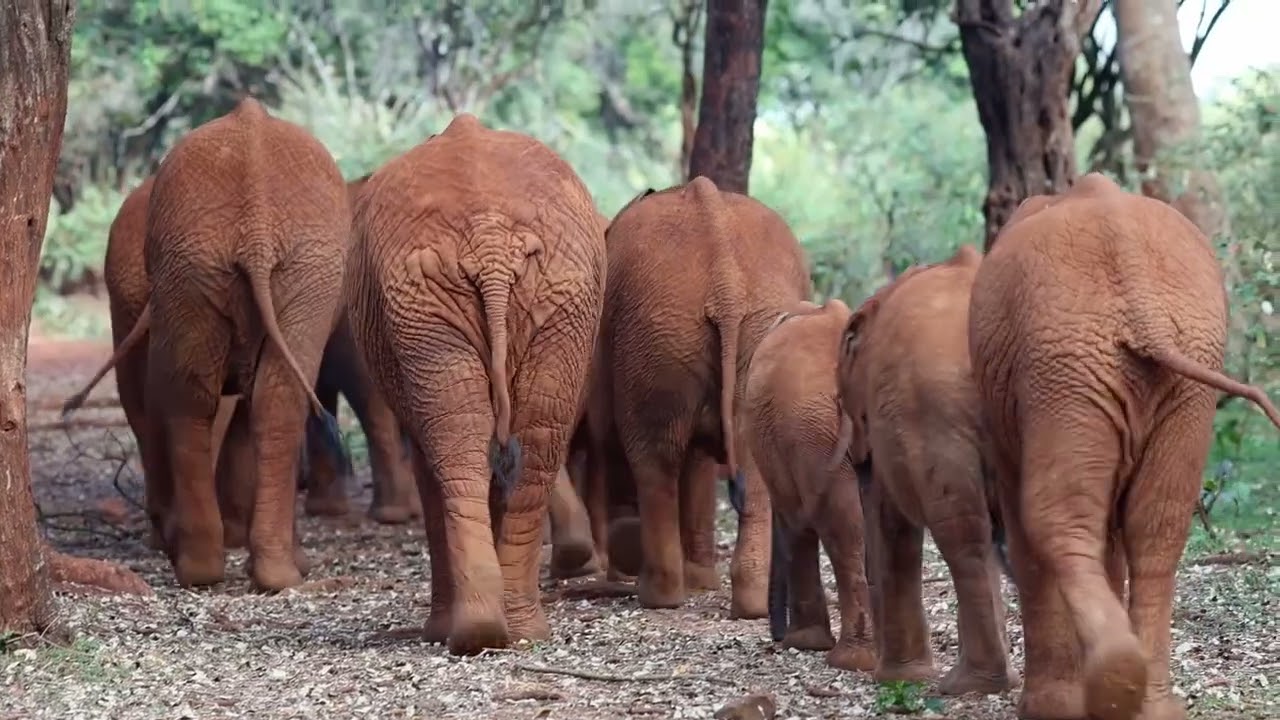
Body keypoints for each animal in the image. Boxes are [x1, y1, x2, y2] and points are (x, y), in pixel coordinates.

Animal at [345, 113, 606, 655]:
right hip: (539, 290)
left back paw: (480, 632)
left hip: (447, 292)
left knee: (466, 447)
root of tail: (489, 239)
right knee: (526, 440)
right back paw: (503, 632)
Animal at [599, 177, 812, 617]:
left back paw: (658, 596)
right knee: (746, 460)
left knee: (653, 458)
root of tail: (725, 278)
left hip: (656, 334)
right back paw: (748, 603)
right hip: (707, 331)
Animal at [742, 297, 877, 672]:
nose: (773, 636)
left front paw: (802, 643)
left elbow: (794, 519)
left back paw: (850, 660)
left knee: (839, 529)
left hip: (812, 426)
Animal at [968, 173, 1280, 720]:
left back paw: (1104, 690)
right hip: (1175, 370)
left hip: (1063, 365)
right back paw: (1146, 701)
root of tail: (1136, 288)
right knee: (1158, 524)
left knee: (1054, 515)